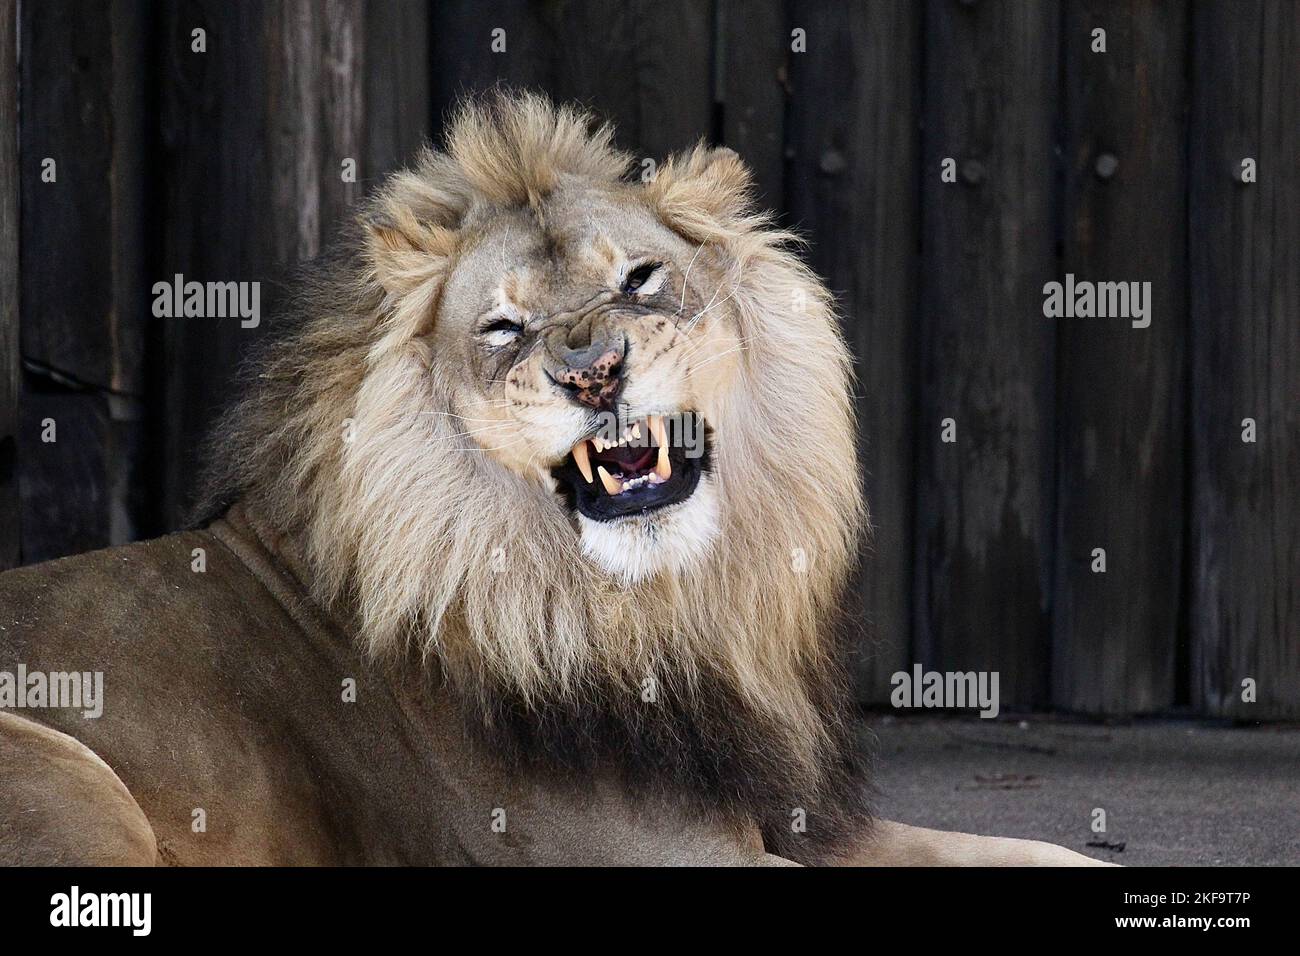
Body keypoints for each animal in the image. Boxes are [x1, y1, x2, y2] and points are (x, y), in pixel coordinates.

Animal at [0, 93, 1101, 866]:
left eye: (640, 280)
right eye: (503, 327)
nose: (594, 371)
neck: (657, 607)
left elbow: (1039, 852)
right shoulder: (656, 854)